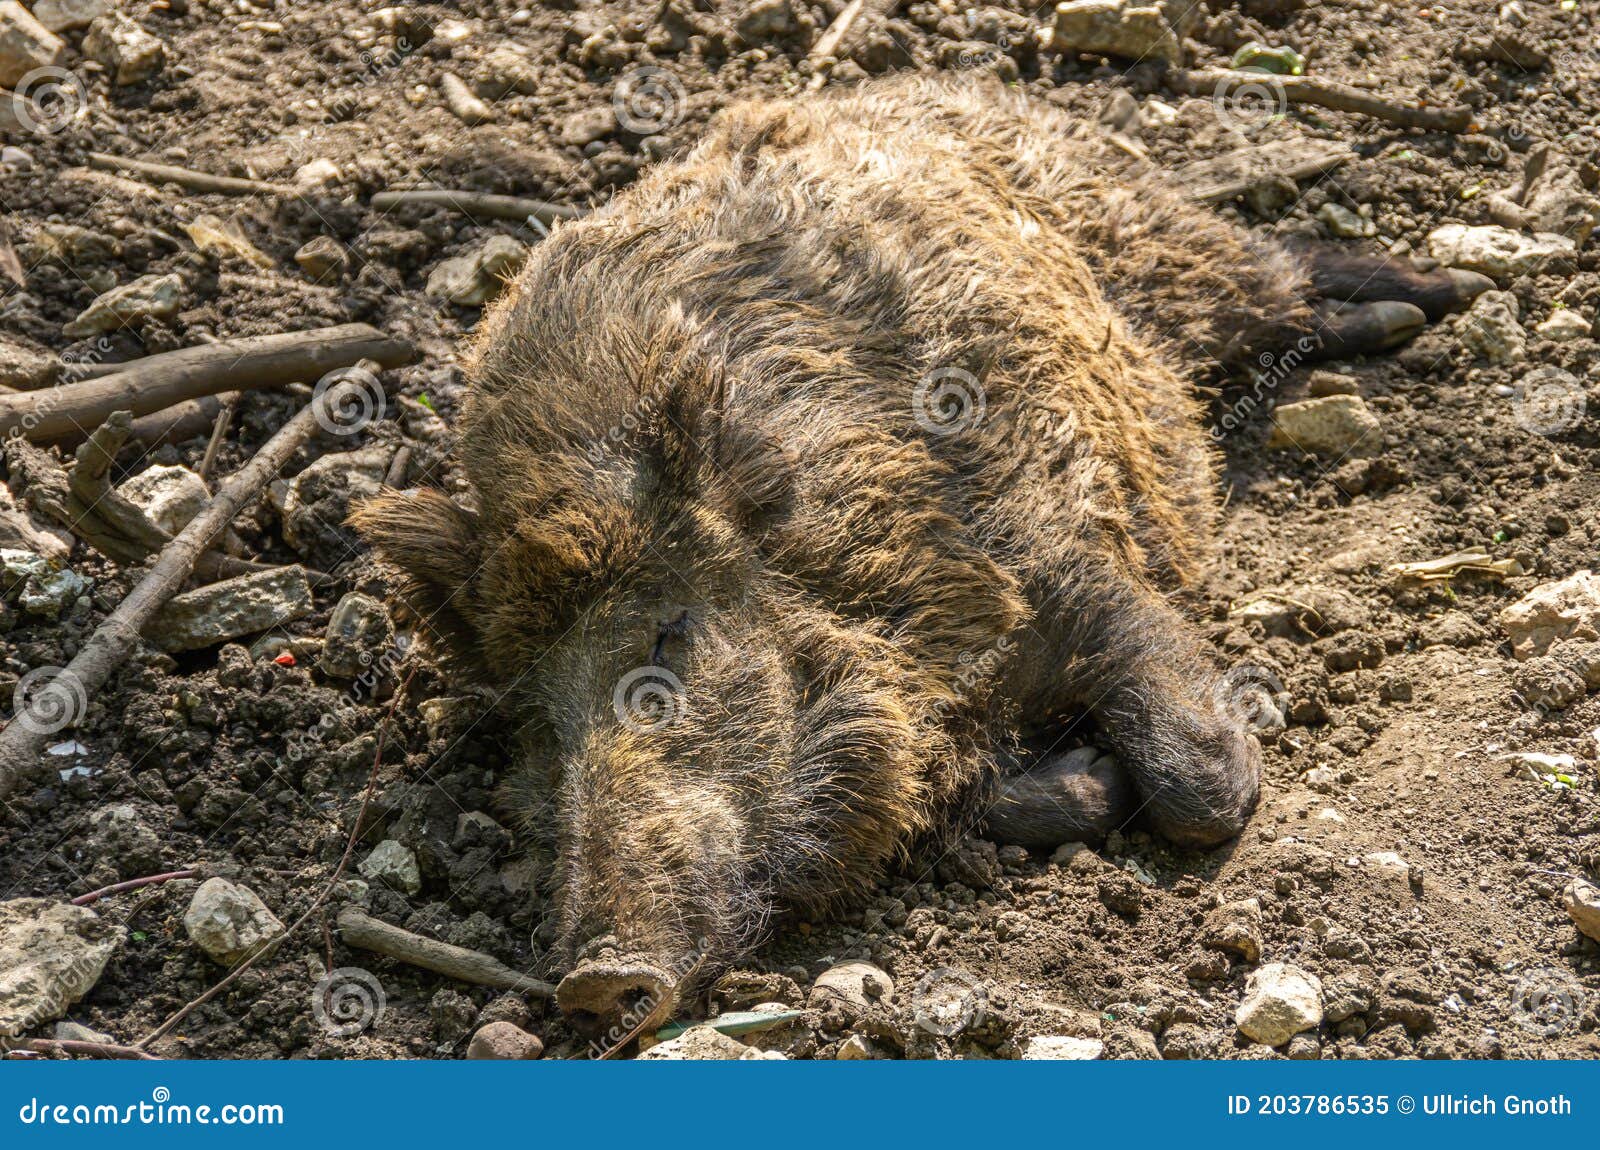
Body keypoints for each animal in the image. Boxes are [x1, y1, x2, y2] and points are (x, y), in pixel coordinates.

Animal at [351, 75, 1487, 1040]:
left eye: (669, 637)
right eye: (537, 726)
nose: (593, 979)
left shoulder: (1066, 540)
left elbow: (1194, 781)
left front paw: (1210, 774)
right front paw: (1088, 787)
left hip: (1170, 251)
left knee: (1277, 270)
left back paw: (1435, 295)